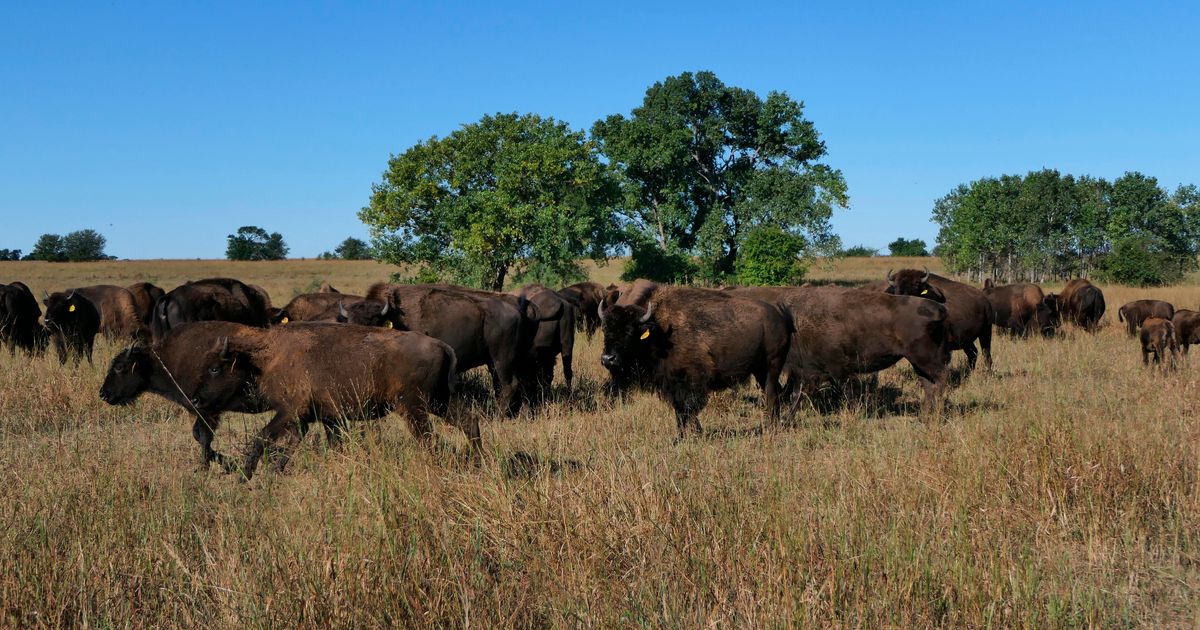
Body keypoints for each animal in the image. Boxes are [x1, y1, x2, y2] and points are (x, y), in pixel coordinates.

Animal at [189, 322, 476, 480]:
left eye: (215, 368)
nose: (195, 399)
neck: (264, 359)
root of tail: (440, 345)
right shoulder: (320, 418)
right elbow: (300, 444)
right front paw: (273, 471)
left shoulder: (290, 412)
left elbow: (263, 437)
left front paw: (244, 476)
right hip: (439, 402)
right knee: (468, 422)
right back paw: (477, 459)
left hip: (415, 408)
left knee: (429, 439)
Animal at [598, 286, 790, 436]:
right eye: (605, 329)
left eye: (629, 331)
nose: (608, 359)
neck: (659, 332)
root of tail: (781, 316)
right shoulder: (672, 384)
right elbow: (680, 410)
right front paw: (689, 435)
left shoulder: (691, 381)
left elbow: (687, 409)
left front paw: (687, 436)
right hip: (760, 370)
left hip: (772, 367)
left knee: (772, 395)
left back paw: (771, 428)